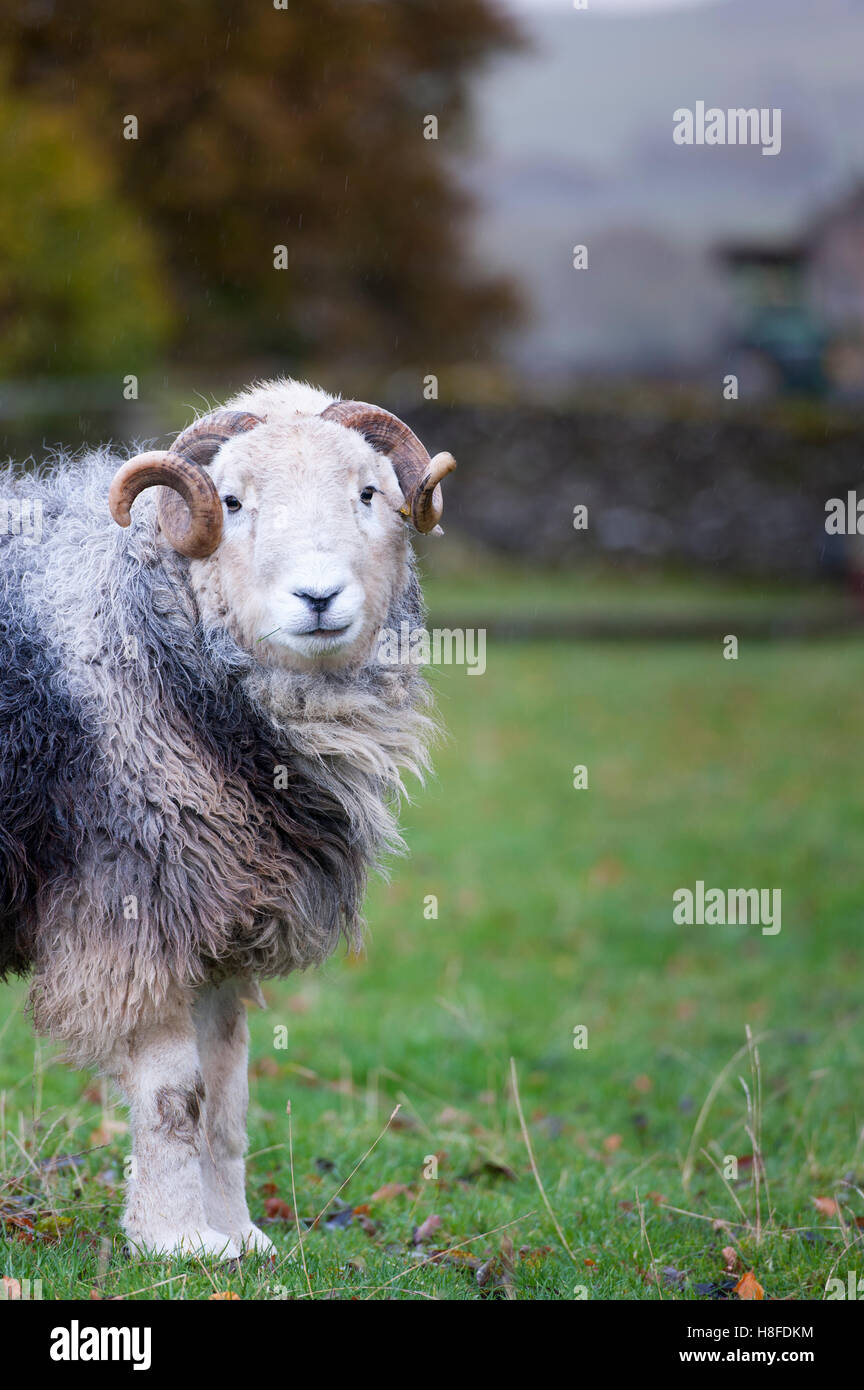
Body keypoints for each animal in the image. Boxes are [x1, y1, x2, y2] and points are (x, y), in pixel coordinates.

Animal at [0, 378, 456, 1258]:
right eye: (235, 500)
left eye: (368, 492)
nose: (319, 598)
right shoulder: (139, 910)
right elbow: (176, 1094)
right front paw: (177, 1242)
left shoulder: (221, 918)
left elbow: (227, 1095)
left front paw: (238, 1236)